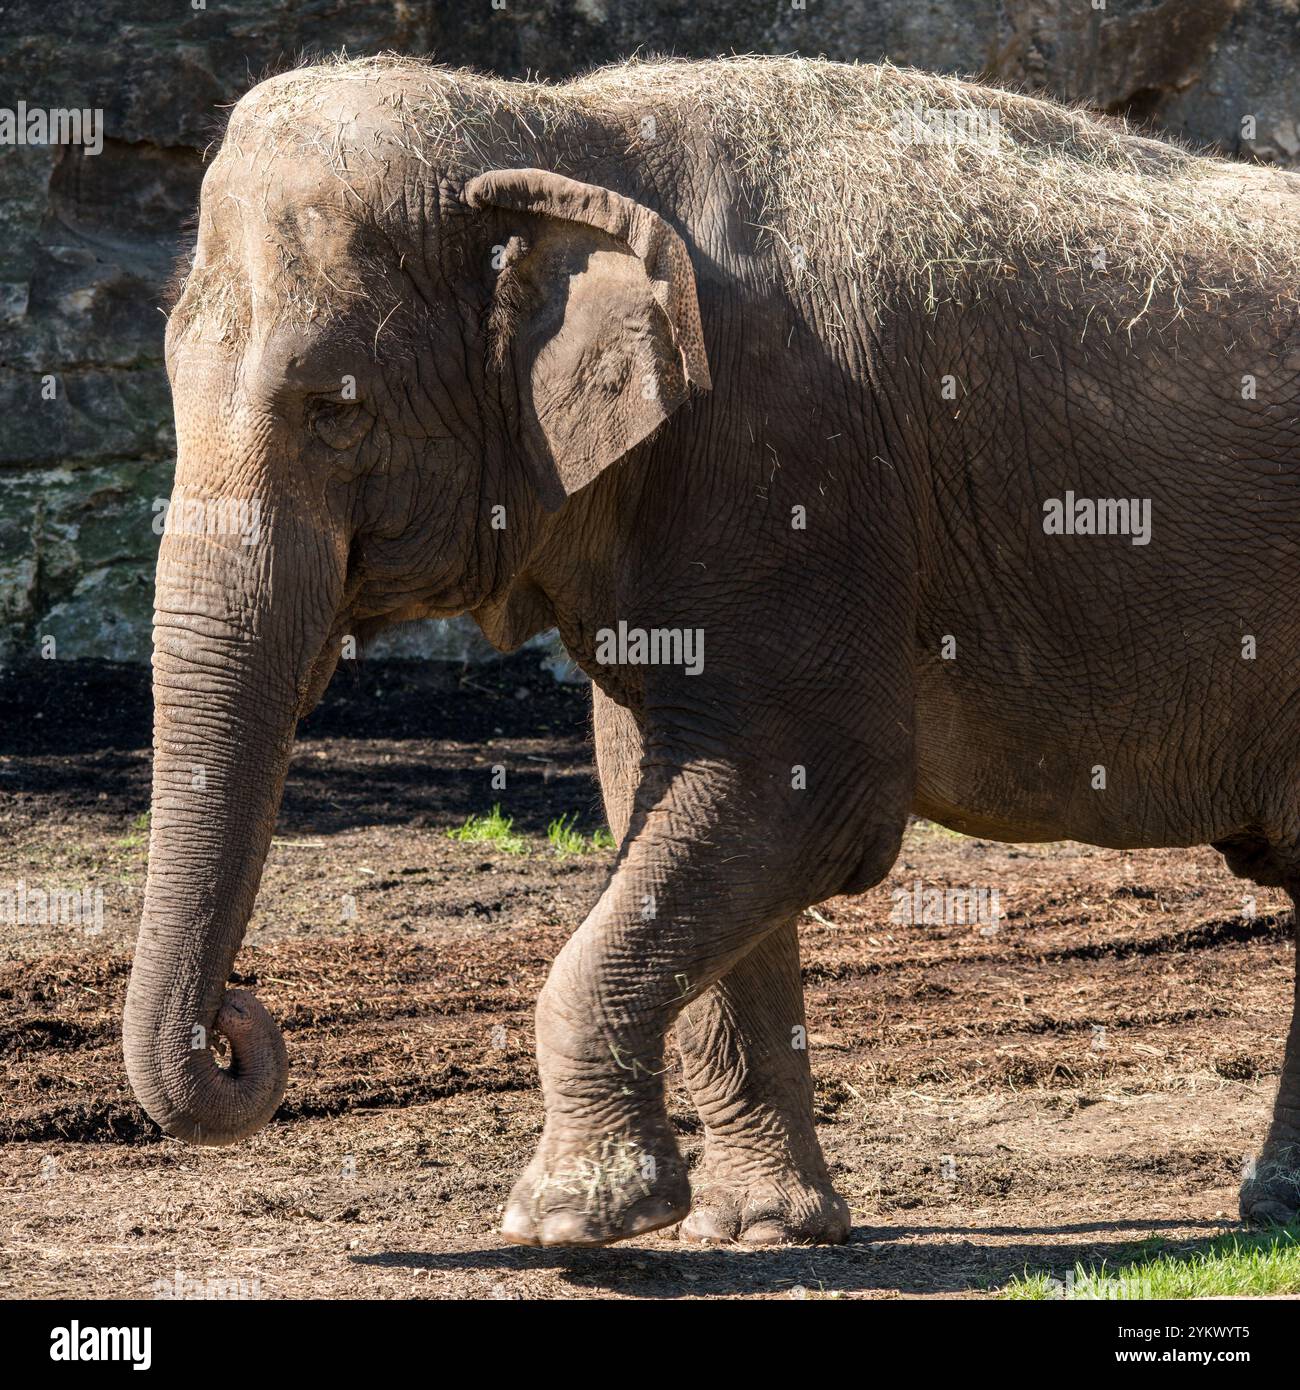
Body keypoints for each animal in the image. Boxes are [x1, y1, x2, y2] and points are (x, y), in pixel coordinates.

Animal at [126, 52, 1300, 1247]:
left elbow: (800, 798)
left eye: (336, 407)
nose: (239, 1023)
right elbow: (665, 798)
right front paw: (758, 1230)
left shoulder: (802, 471)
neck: (562, 129)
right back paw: (1273, 1207)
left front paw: (567, 1221)